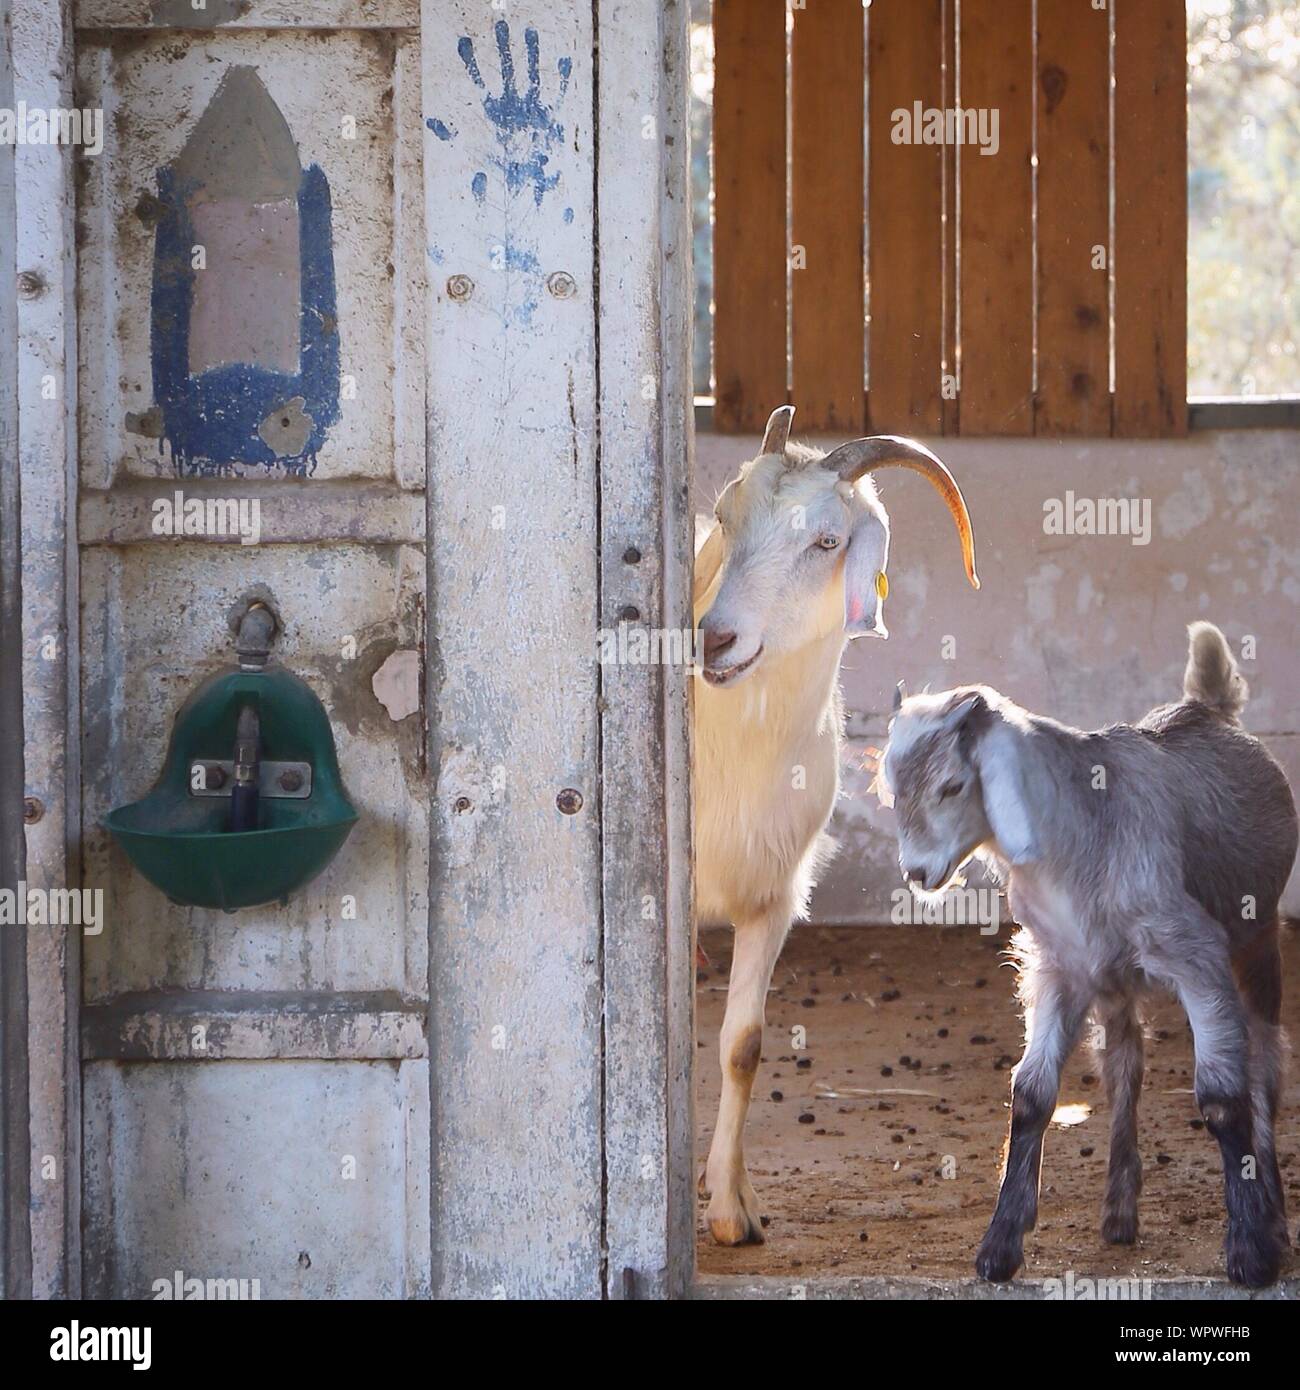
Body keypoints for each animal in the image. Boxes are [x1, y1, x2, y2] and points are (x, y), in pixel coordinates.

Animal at [693, 404, 979, 1245]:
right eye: (728, 518)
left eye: (827, 541)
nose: (714, 639)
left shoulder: (774, 896)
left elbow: (743, 1046)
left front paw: (734, 1208)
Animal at [878, 622, 1298, 1286]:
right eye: (893, 788)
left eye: (952, 785)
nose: (917, 873)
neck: (1080, 830)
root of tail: (1204, 707)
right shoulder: (1060, 966)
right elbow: (1031, 1093)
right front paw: (1000, 1245)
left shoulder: (1197, 956)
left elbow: (1221, 1098)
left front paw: (1253, 1253)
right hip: (1115, 975)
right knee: (1125, 1063)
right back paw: (1119, 1212)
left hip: (1257, 939)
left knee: (1264, 1066)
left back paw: (1274, 1218)